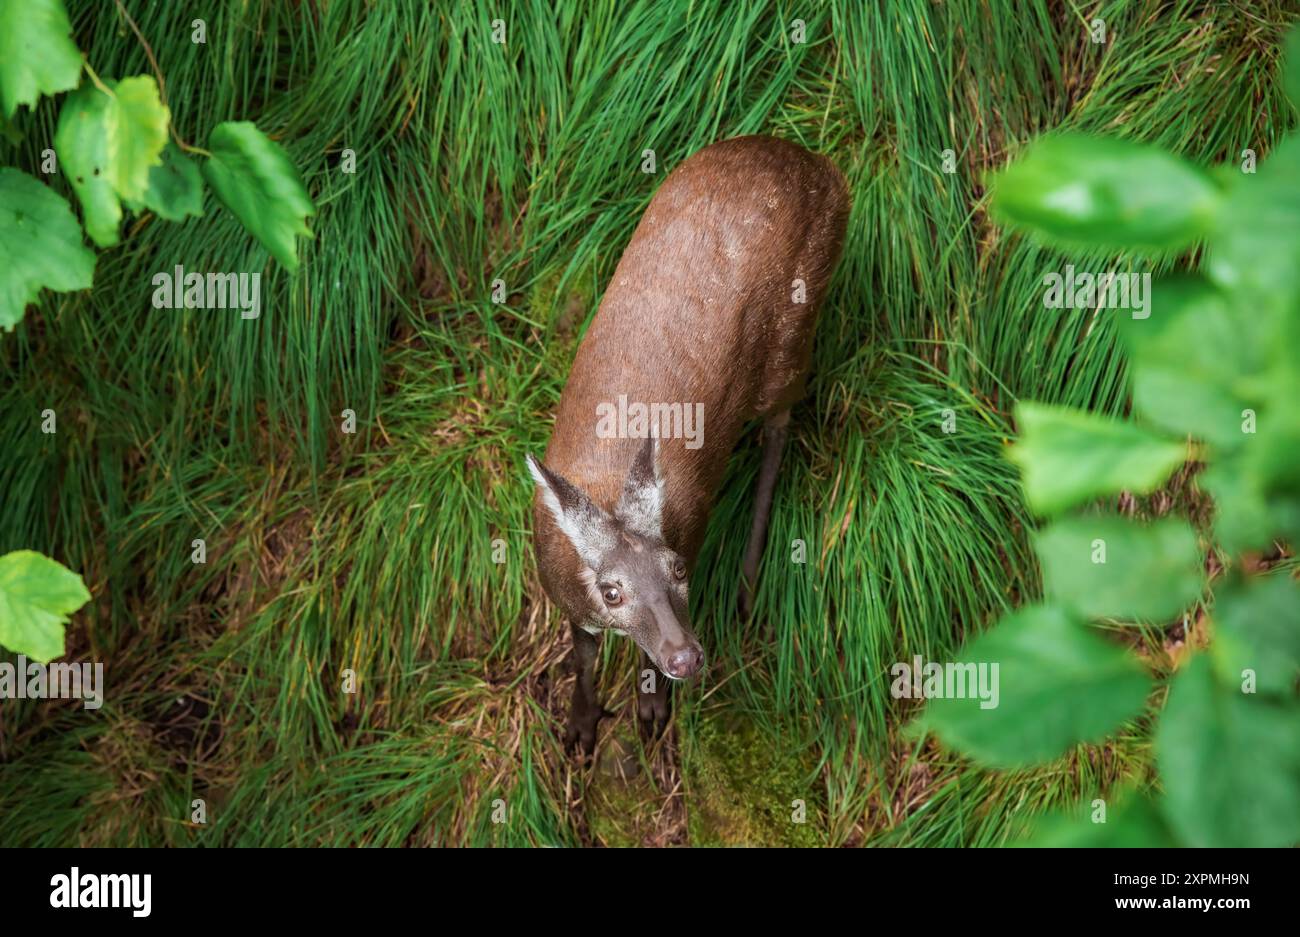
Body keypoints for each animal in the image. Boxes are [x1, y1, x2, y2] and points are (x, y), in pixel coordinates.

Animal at [527, 135, 849, 756]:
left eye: (679, 569)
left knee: (781, 418)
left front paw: (651, 706)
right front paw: (579, 722)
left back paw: (749, 580)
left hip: (798, 313)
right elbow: (584, 651)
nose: (686, 657)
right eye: (610, 592)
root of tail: (819, 165)